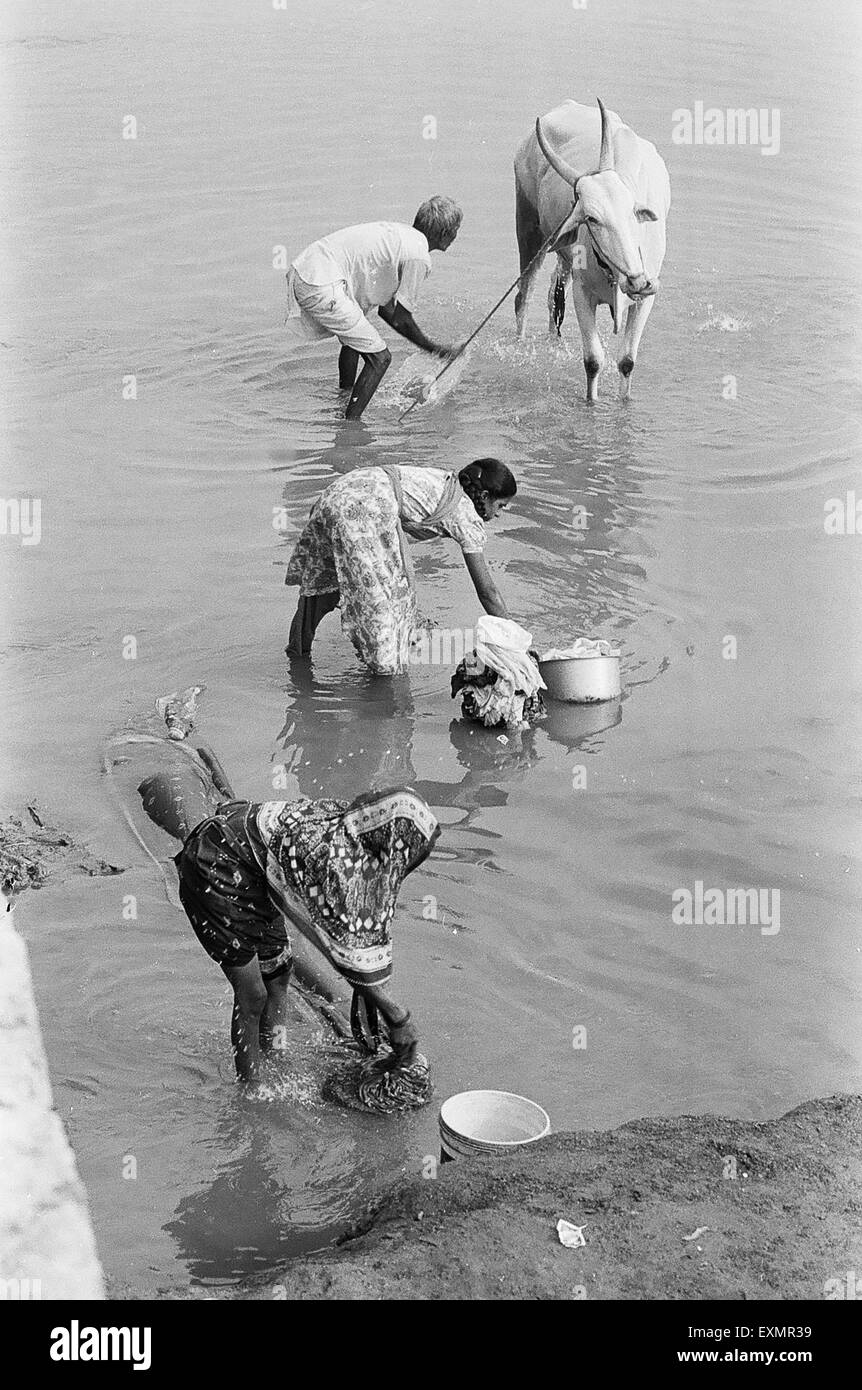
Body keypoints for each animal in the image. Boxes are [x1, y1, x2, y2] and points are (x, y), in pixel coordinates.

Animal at [514, 97, 670, 402]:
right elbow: (593, 361)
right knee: (523, 297)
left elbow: (627, 361)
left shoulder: (646, 299)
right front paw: (591, 402)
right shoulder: (583, 294)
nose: (638, 281)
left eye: (632, 211)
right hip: (528, 230)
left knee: (554, 296)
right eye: (592, 218)